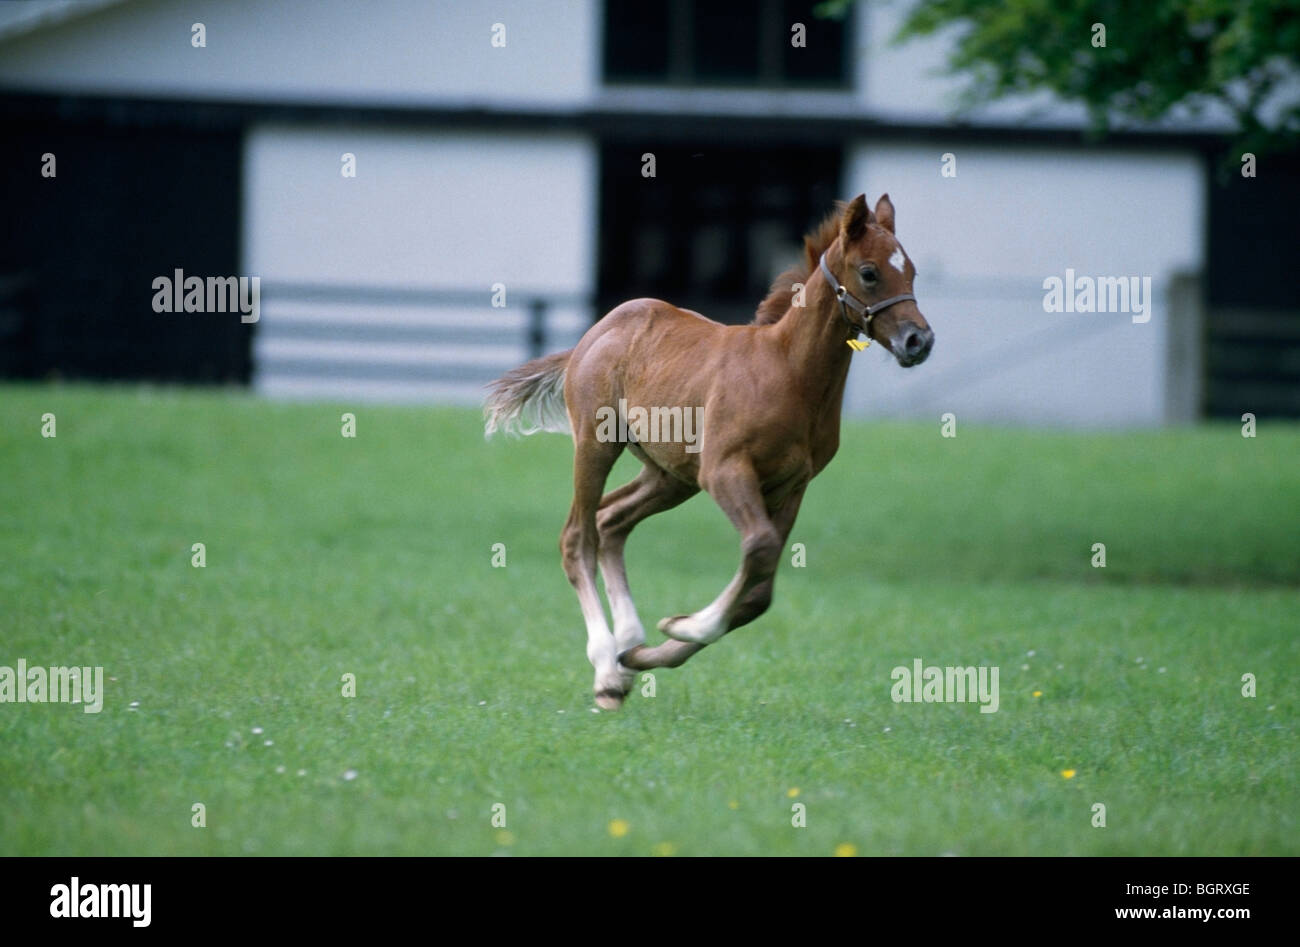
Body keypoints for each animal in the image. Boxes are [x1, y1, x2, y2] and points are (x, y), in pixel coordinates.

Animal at [484, 194, 934, 710]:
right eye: (869, 272)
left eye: (912, 271)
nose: (919, 340)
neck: (788, 372)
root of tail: (594, 333)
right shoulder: (725, 470)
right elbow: (759, 547)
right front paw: (682, 625)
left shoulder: (791, 486)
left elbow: (759, 593)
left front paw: (651, 649)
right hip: (599, 445)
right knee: (579, 536)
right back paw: (606, 668)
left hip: (671, 475)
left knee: (611, 521)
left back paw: (627, 648)